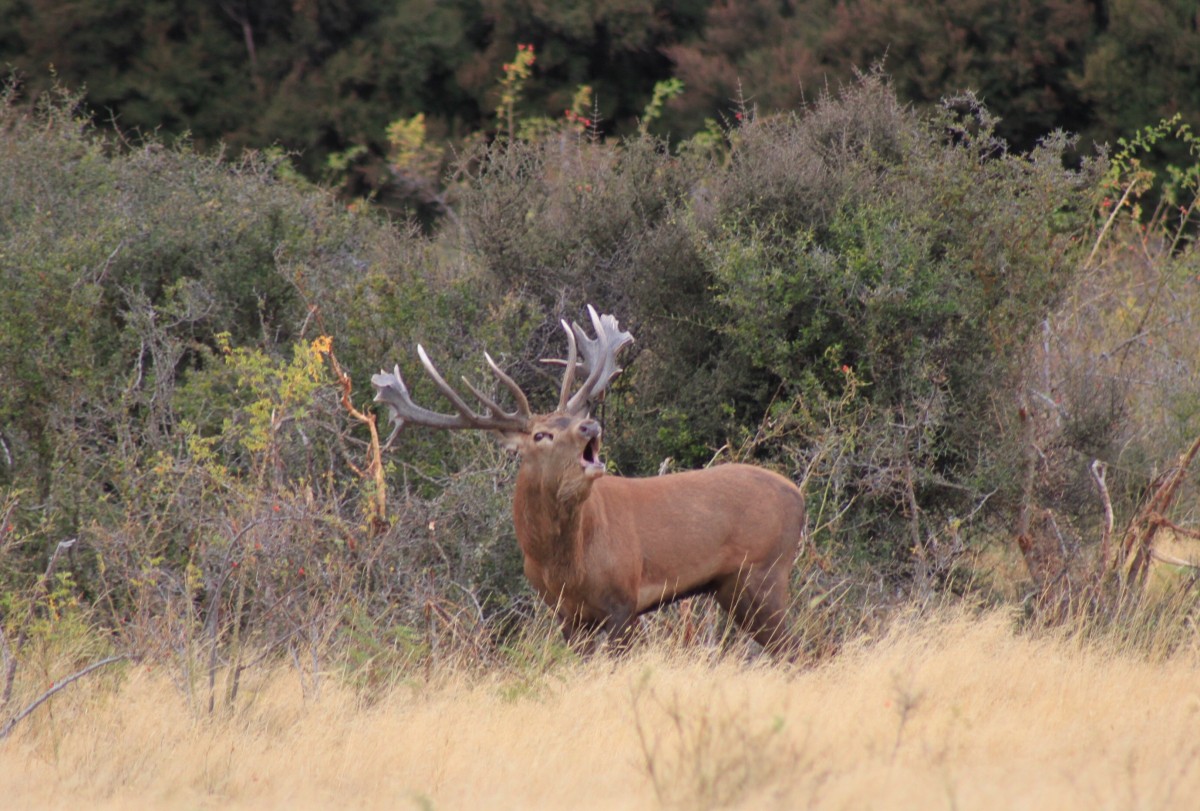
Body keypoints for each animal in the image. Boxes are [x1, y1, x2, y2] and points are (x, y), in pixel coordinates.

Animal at [371, 307, 806, 657]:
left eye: (575, 417)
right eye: (541, 434)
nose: (590, 425)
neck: (565, 565)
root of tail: (798, 494)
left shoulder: (623, 600)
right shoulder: (567, 615)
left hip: (764, 572)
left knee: (799, 651)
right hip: (733, 588)